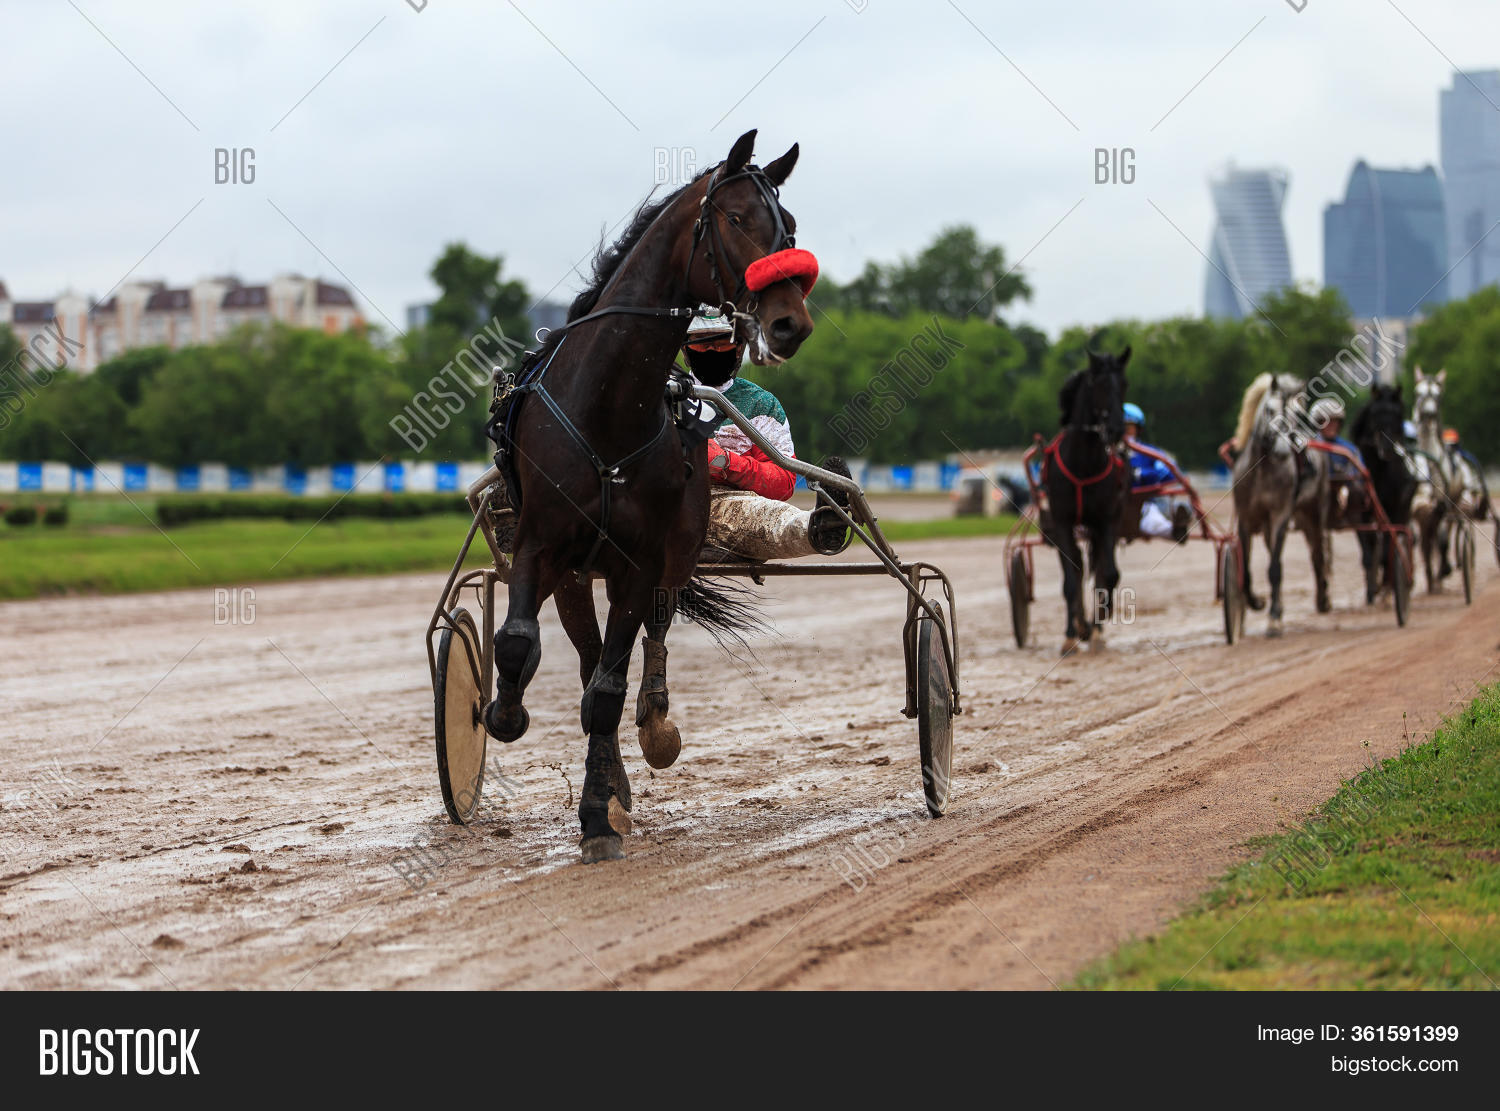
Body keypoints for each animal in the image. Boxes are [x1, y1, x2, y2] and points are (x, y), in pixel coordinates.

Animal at [488, 129, 814, 863]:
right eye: (735, 218)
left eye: (790, 226)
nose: (790, 323)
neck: (607, 412)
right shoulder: (539, 542)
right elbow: (518, 643)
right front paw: (505, 712)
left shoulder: (640, 560)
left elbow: (612, 686)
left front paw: (598, 818)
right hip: (577, 572)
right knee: (583, 654)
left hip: (675, 546)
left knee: (648, 639)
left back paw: (647, 732)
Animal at [1039, 346, 1130, 654]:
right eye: (1100, 384)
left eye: (1124, 384)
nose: (1116, 429)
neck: (1084, 463)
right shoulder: (1062, 521)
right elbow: (1070, 579)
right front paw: (1071, 633)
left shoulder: (1106, 520)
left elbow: (1109, 574)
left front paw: (1097, 627)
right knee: (1077, 567)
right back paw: (1078, 625)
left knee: (1099, 569)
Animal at [1229, 373, 1329, 635]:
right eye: (1269, 410)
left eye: (1294, 415)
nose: (1284, 450)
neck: (1261, 471)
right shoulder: (1245, 519)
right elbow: (1245, 569)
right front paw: (1254, 602)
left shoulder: (1280, 516)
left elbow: (1274, 569)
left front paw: (1273, 616)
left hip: (1313, 513)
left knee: (1317, 555)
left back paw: (1323, 599)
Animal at [1349, 383, 1417, 603]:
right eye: (1375, 414)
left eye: (1398, 414)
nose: (1387, 449)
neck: (1377, 473)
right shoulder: (1361, 512)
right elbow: (1368, 548)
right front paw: (1372, 588)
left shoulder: (1394, 508)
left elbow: (1389, 543)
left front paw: (1388, 583)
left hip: (1403, 508)